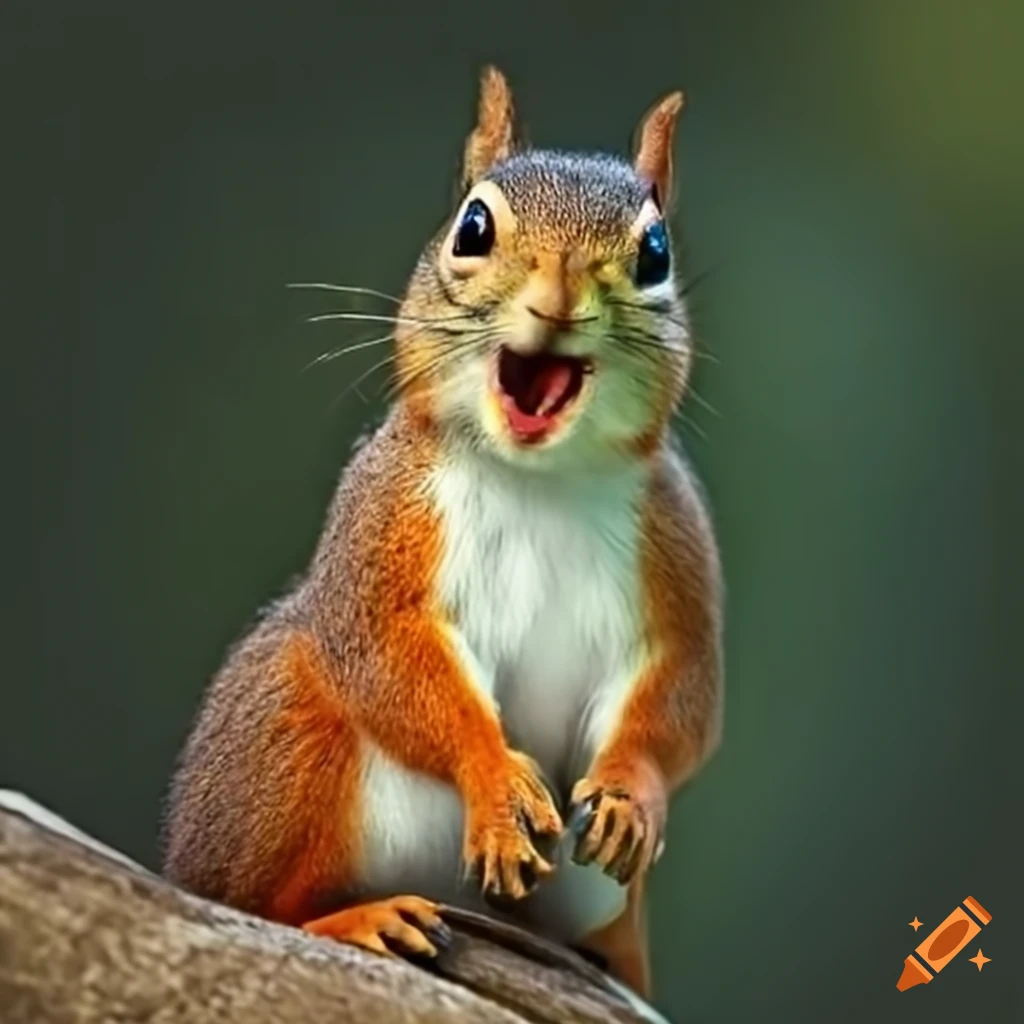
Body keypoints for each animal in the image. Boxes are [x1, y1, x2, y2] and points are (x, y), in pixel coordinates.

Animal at [163, 66, 723, 1000]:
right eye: (473, 226)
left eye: (655, 254)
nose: (557, 302)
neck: (539, 479)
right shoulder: (385, 523)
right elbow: (394, 661)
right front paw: (495, 787)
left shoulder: (676, 552)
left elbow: (682, 693)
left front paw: (627, 793)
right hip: (285, 735)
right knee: (255, 905)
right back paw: (360, 918)